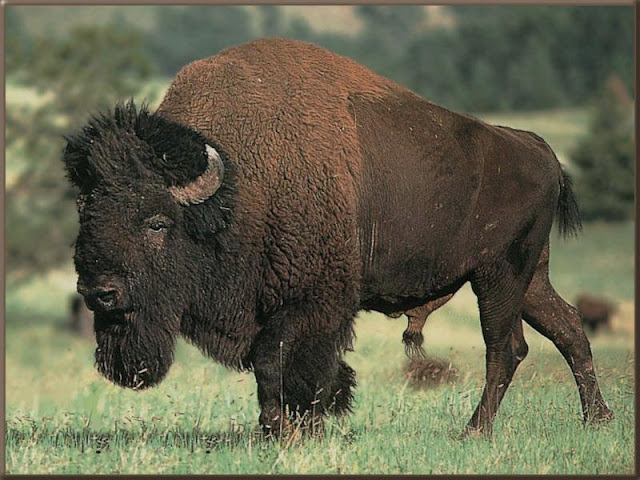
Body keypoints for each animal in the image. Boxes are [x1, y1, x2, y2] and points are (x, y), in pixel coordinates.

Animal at [64, 38, 613, 436]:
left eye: (156, 222)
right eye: (86, 213)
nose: (100, 292)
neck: (238, 188)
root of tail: (537, 148)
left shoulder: (311, 303)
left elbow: (279, 362)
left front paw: (287, 430)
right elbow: (273, 366)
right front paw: (283, 428)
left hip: (499, 275)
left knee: (505, 347)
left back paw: (475, 431)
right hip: (530, 277)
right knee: (567, 327)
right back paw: (597, 420)